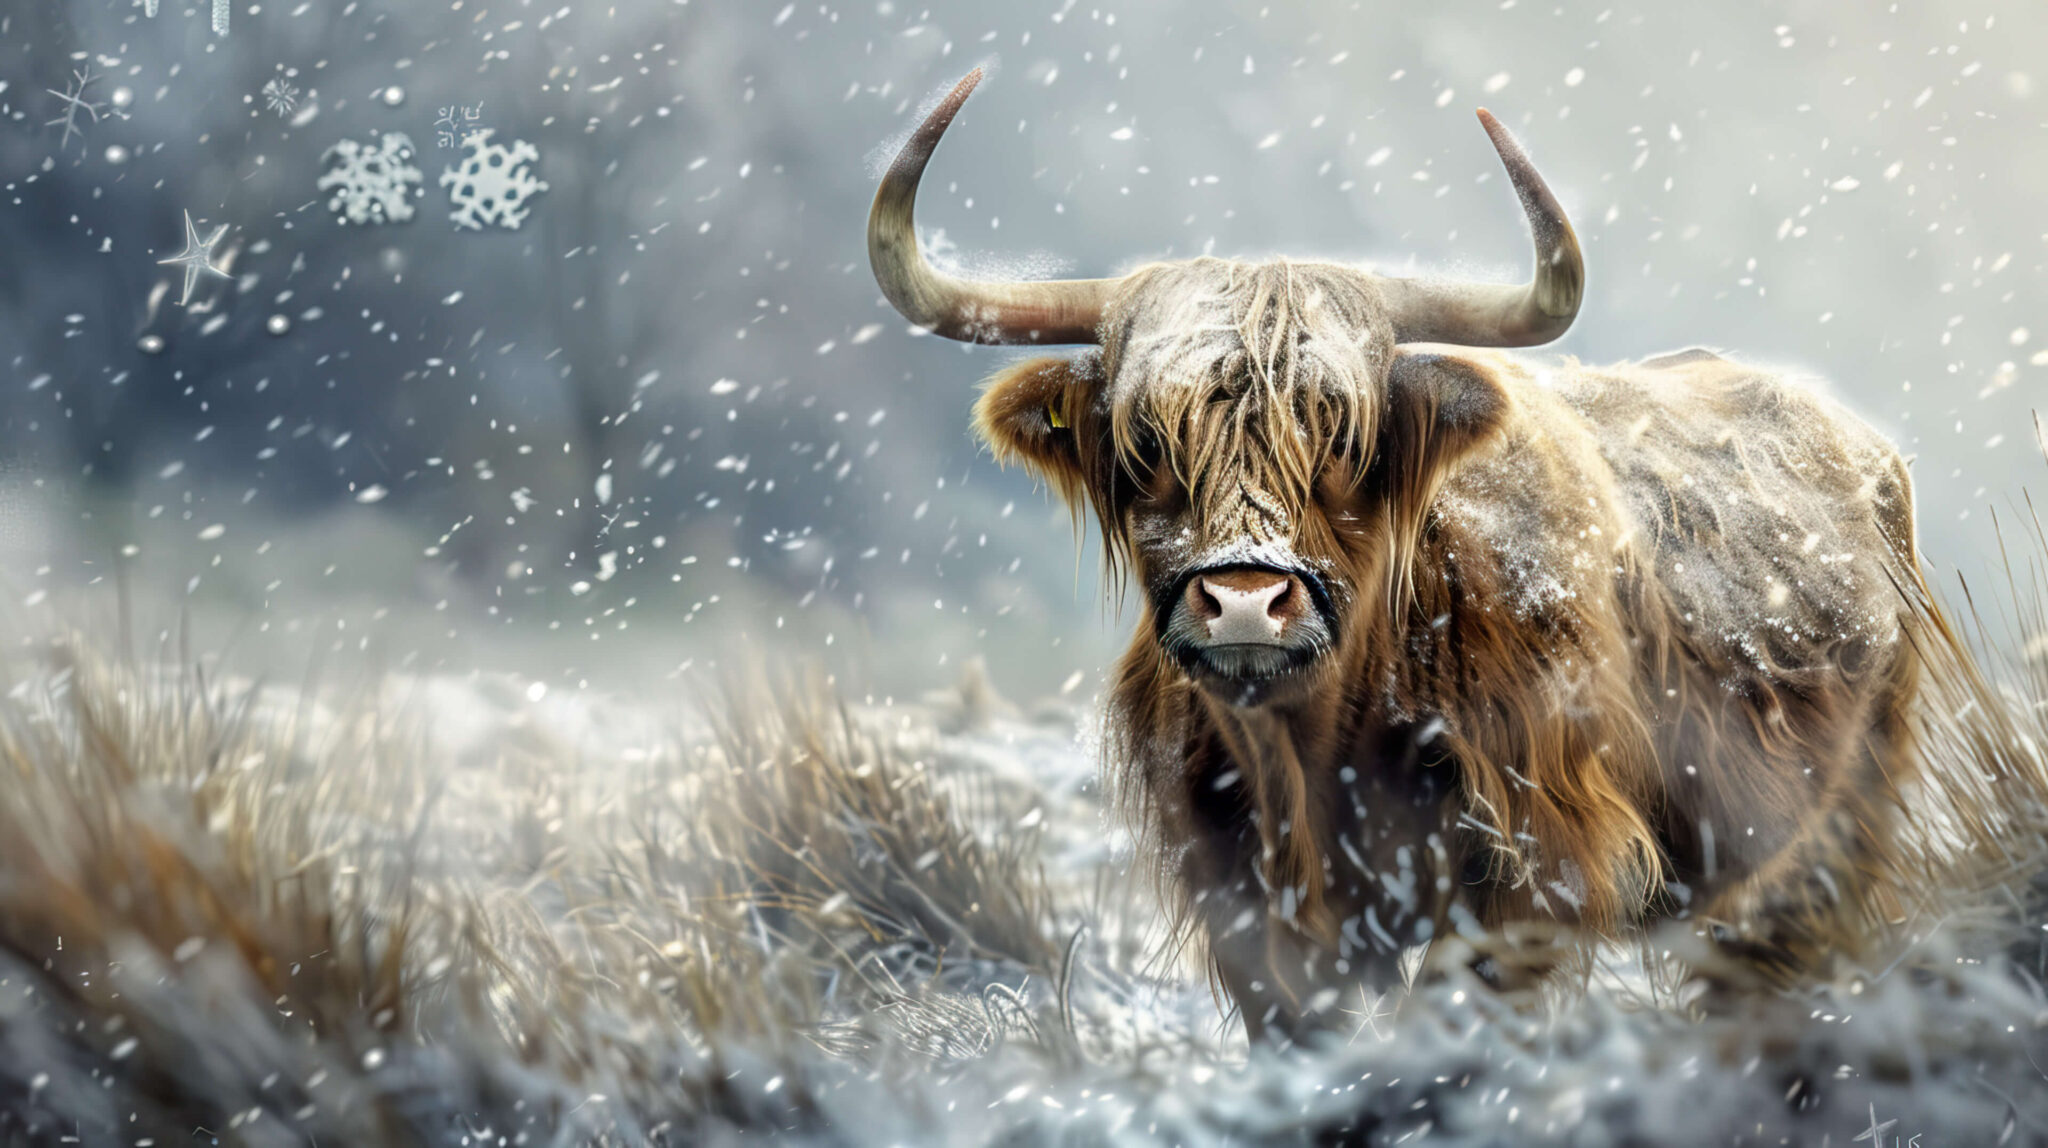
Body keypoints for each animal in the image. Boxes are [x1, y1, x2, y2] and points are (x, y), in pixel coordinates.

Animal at [868, 69, 1931, 1044]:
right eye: (1146, 443)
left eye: (1342, 436)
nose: (1246, 601)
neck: (1312, 752)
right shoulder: (1241, 909)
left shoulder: (1537, 867)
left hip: (1837, 831)